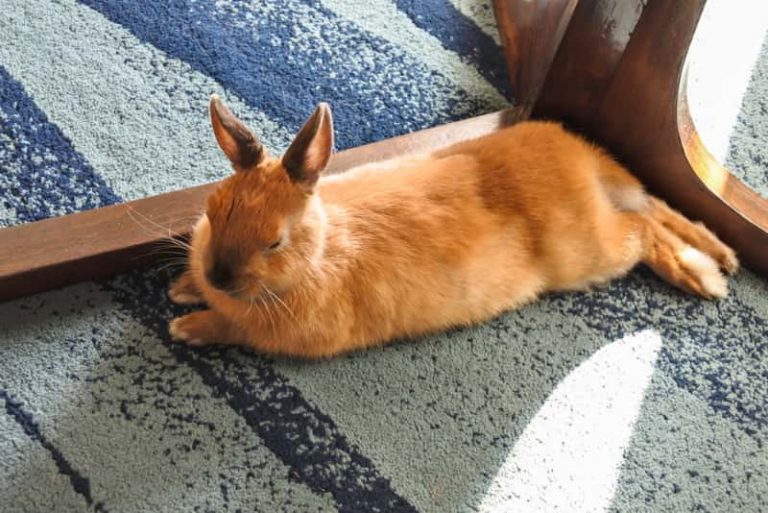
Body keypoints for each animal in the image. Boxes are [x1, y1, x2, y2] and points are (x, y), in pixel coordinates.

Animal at [167, 95, 738, 358]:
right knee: (654, 205)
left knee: (642, 227)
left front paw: (187, 326)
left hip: (592, 252)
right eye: (213, 209)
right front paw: (182, 289)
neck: (318, 254)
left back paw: (704, 276)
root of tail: (583, 161)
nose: (216, 277)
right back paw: (722, 256)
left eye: (274, 242)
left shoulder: (287, 334)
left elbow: (235, 329)